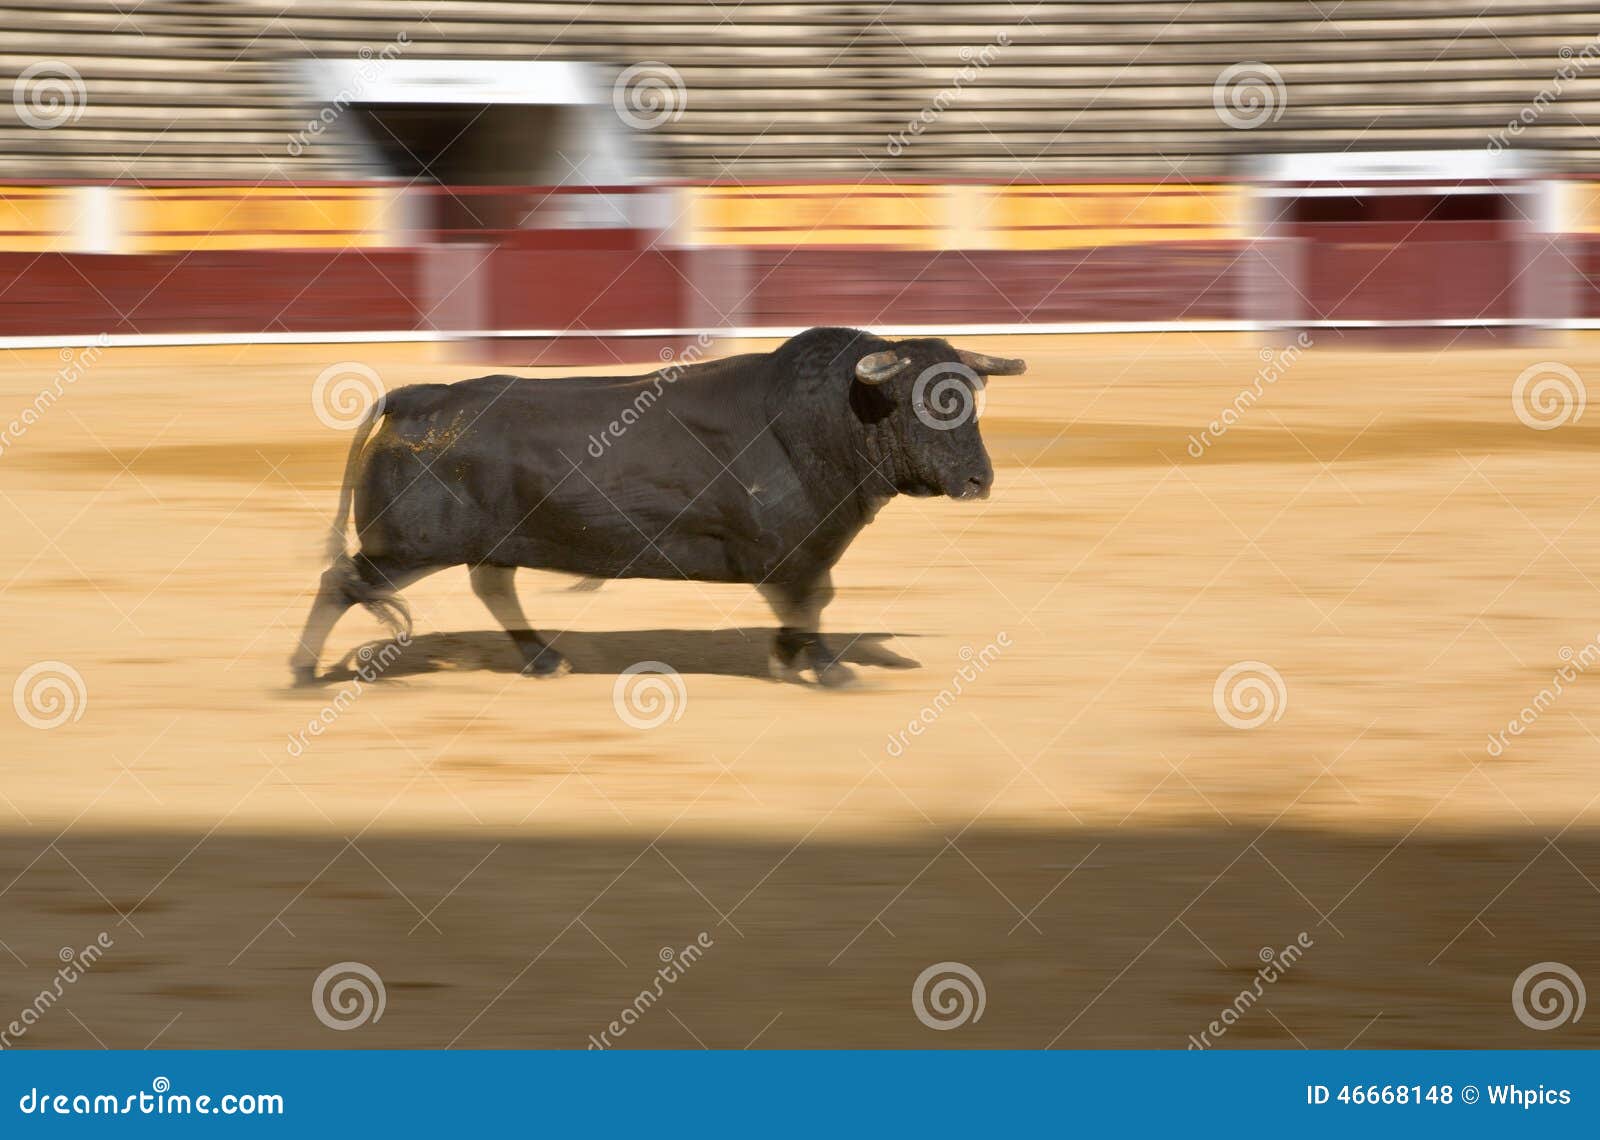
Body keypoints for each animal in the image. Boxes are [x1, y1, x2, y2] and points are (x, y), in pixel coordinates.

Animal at [290, 326, 1025, 688]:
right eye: (928, 404)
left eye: (969, 398)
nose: (979, 479)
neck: (835, 417)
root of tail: (416, 397)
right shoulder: (793, 553)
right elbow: (812, 604)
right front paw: (831, 670)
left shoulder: (800, 556)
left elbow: (807, 607)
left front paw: (791, 661)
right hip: (407, 547)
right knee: (340, 581)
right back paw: (302, 672)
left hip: (481, 544)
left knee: (492, 589)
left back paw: (545, 661)